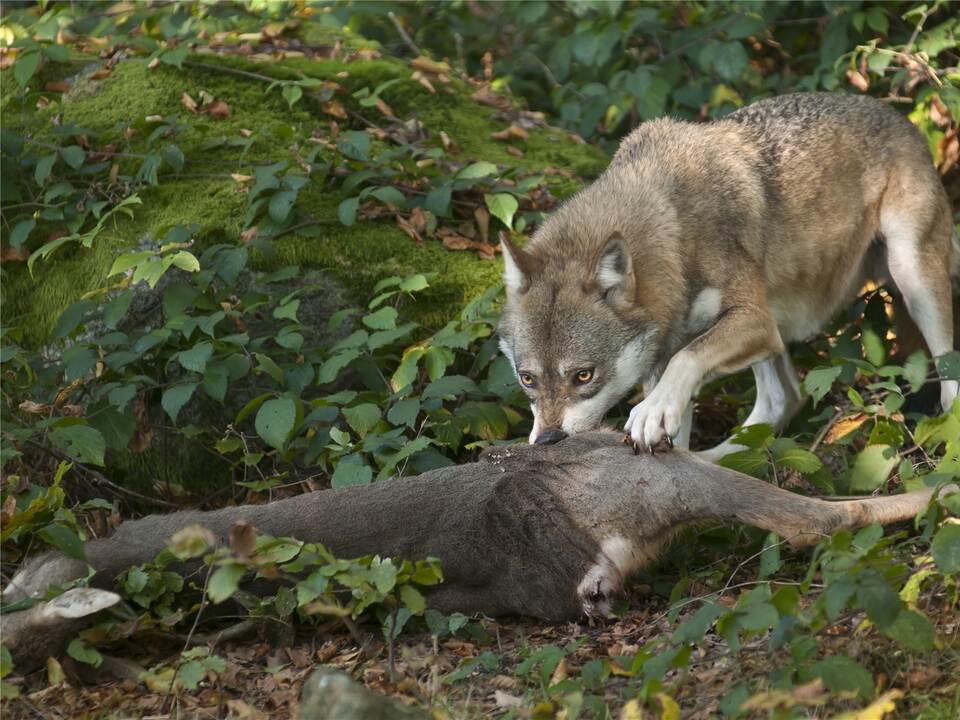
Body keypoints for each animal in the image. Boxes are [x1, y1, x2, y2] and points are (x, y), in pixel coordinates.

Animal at [497, 92, 958, 457]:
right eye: (527, 378)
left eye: (583, 375)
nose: (547, 440)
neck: (673, 229)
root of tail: (902, 119)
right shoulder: (682, 351)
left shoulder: (750, 320)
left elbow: (687, 358)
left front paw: (649, 412)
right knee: (783, 400)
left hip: (910, 273)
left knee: (948, 372)